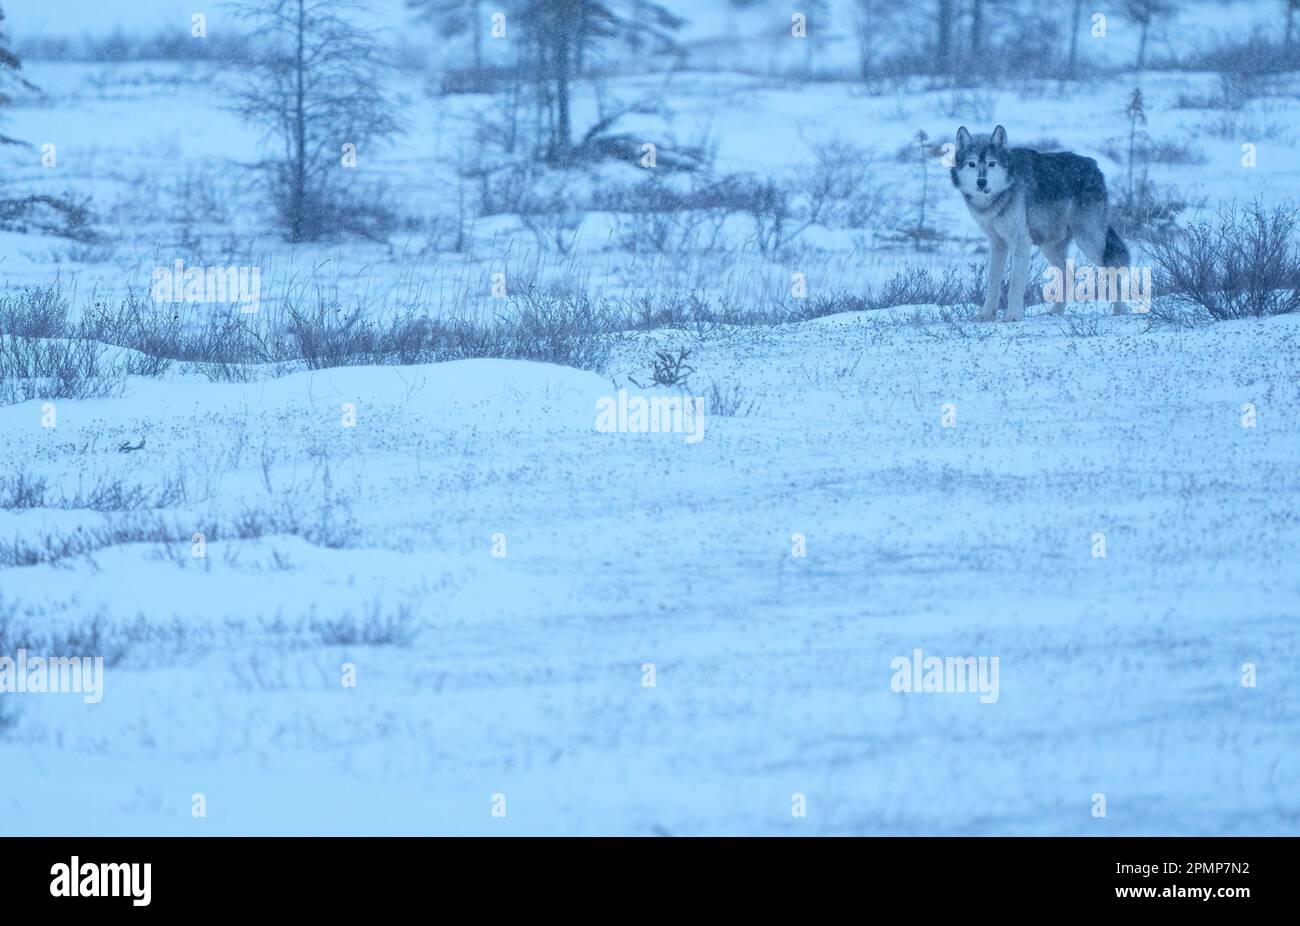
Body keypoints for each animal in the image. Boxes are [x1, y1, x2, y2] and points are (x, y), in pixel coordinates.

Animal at [951, 125, 1130, 321]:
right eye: (972, 164)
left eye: (992, 163)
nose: (981, 182)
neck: (998, 198)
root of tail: (1095, 167)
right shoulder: (997, 243)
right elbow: (993, 281)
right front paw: (986, 315)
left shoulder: (1020, 242)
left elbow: (1015, 284)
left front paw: (1013, 316)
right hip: (1050, 246)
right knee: (1069, 276)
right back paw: (1055, 312)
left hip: (1088, 241)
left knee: (1112, 268)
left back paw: (1120, 310)